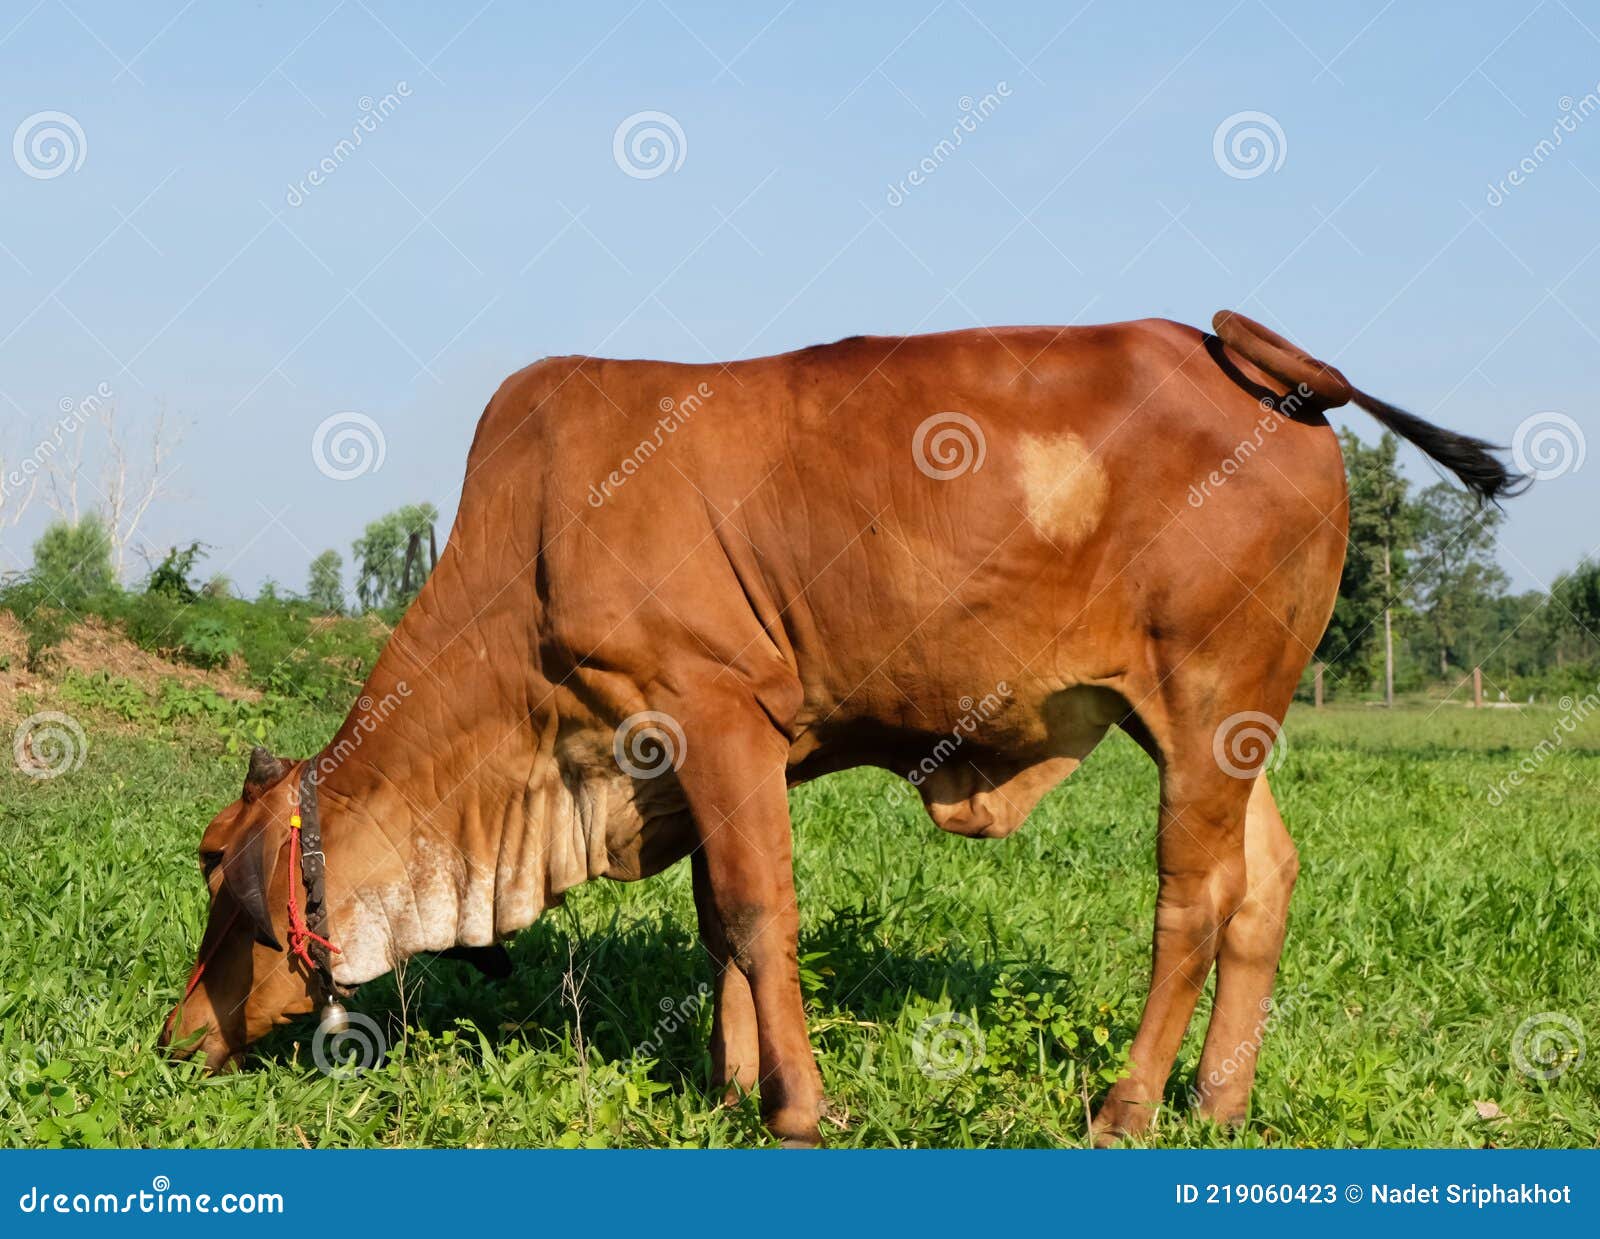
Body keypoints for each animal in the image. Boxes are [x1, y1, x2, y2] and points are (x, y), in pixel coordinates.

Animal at [161, 311, 1520, 1145]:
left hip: (1204, 699)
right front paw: (729, 1086)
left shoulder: (717, 712)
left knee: (1193, 896)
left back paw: (1128, 1108)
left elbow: (763, 915)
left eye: (216, 866)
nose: (174, 1042)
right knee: (1267, 879)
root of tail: (1279, 373)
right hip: (1222, 723)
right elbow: (720, 925)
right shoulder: (675, 754)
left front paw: (798, 1109)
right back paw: (1217, 1105)